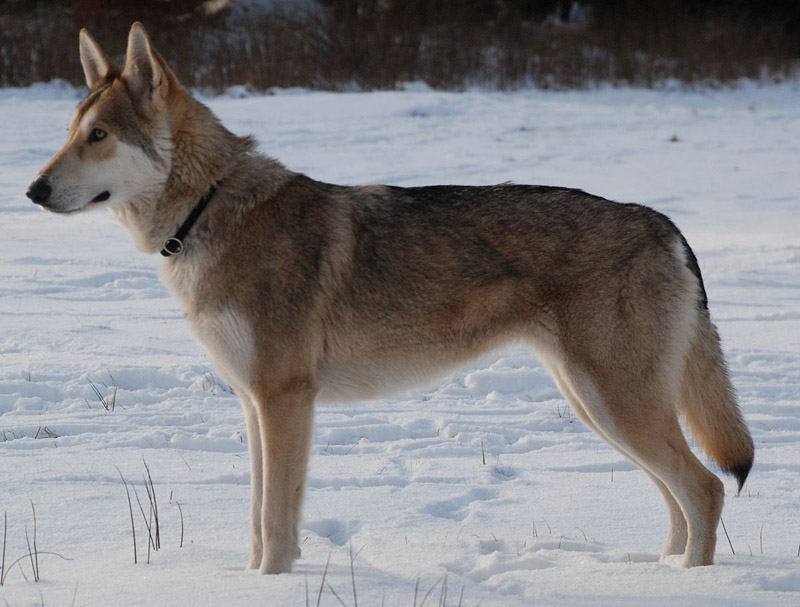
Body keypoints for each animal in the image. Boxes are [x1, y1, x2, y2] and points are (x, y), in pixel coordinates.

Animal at [27, 23, 753, 573]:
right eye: (68, 131)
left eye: (98, 136)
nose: (32, 191)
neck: (208, 210)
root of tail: (665, 224)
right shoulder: (254, 402)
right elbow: (259, 520)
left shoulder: (285, 398)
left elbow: (277, 525)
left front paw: (271, 584)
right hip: (597, 405)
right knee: (679, 497)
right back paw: (661, 570)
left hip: (613, 403)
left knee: (708, 488)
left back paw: (687, 582)